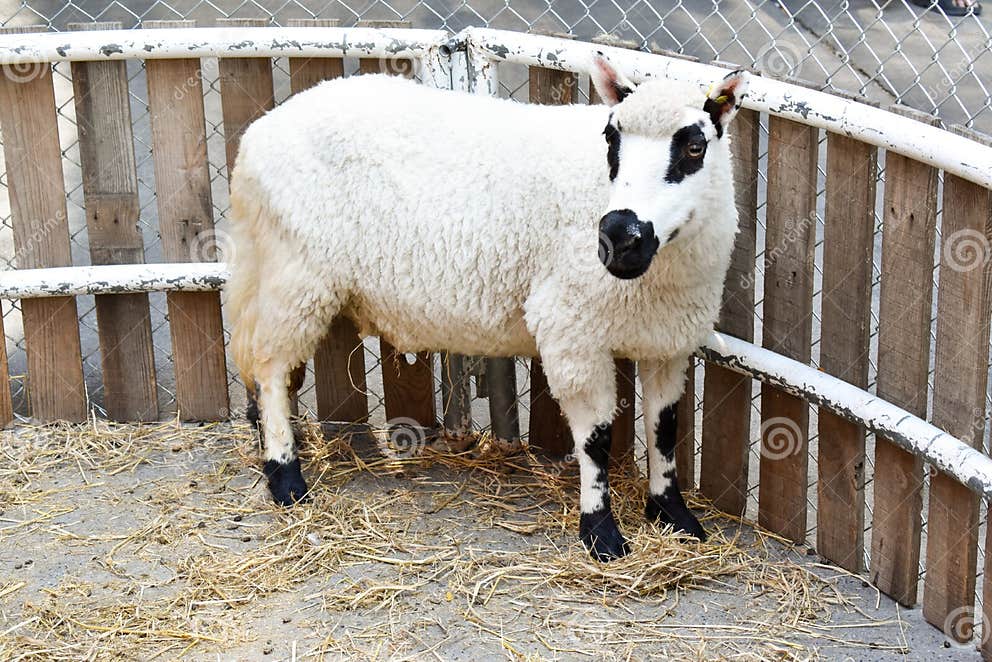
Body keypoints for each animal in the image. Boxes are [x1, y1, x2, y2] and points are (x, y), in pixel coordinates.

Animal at [226, 54, 749, 561]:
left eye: (695, 146)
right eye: (610, 136)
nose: (619, 237)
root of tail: (258, 134)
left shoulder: (668, 341)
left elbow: (665, 428)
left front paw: (673, 514)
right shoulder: (570, 328)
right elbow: (596, 438)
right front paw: (601, 532)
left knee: (267, 367)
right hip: (296, 273)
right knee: (270, 369)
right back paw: (285, 476)